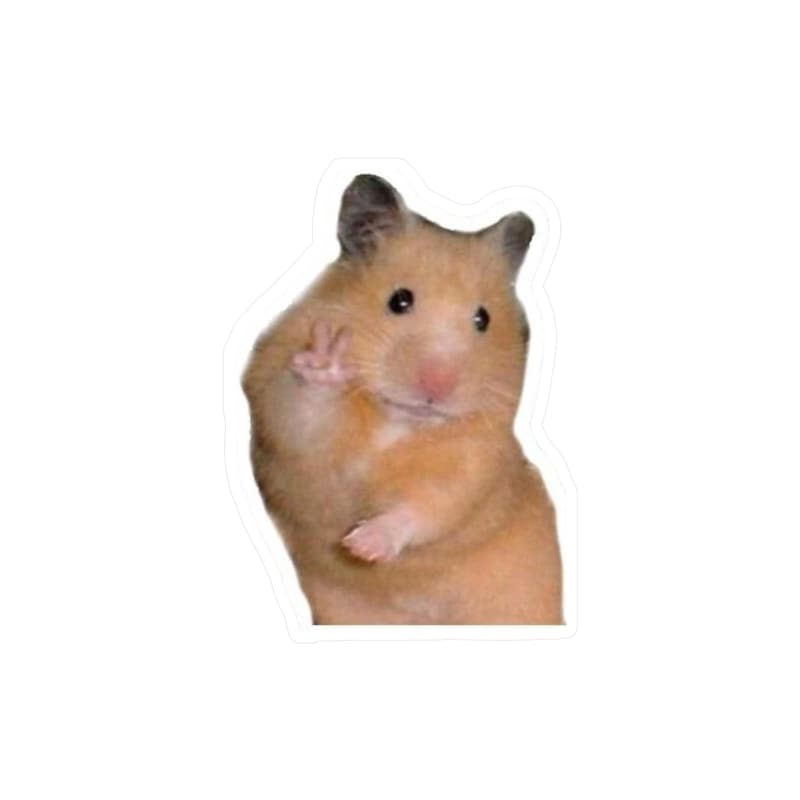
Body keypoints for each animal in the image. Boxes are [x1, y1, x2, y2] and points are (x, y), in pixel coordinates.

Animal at [242, 175, 563, 624]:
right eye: (399, 300)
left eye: (483, 319)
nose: (437, 387)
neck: (397, 421)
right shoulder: (279, 413)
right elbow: (304, 414)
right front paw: (326, 360)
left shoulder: (475, 462)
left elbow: (428, 506)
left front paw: (362, 546)